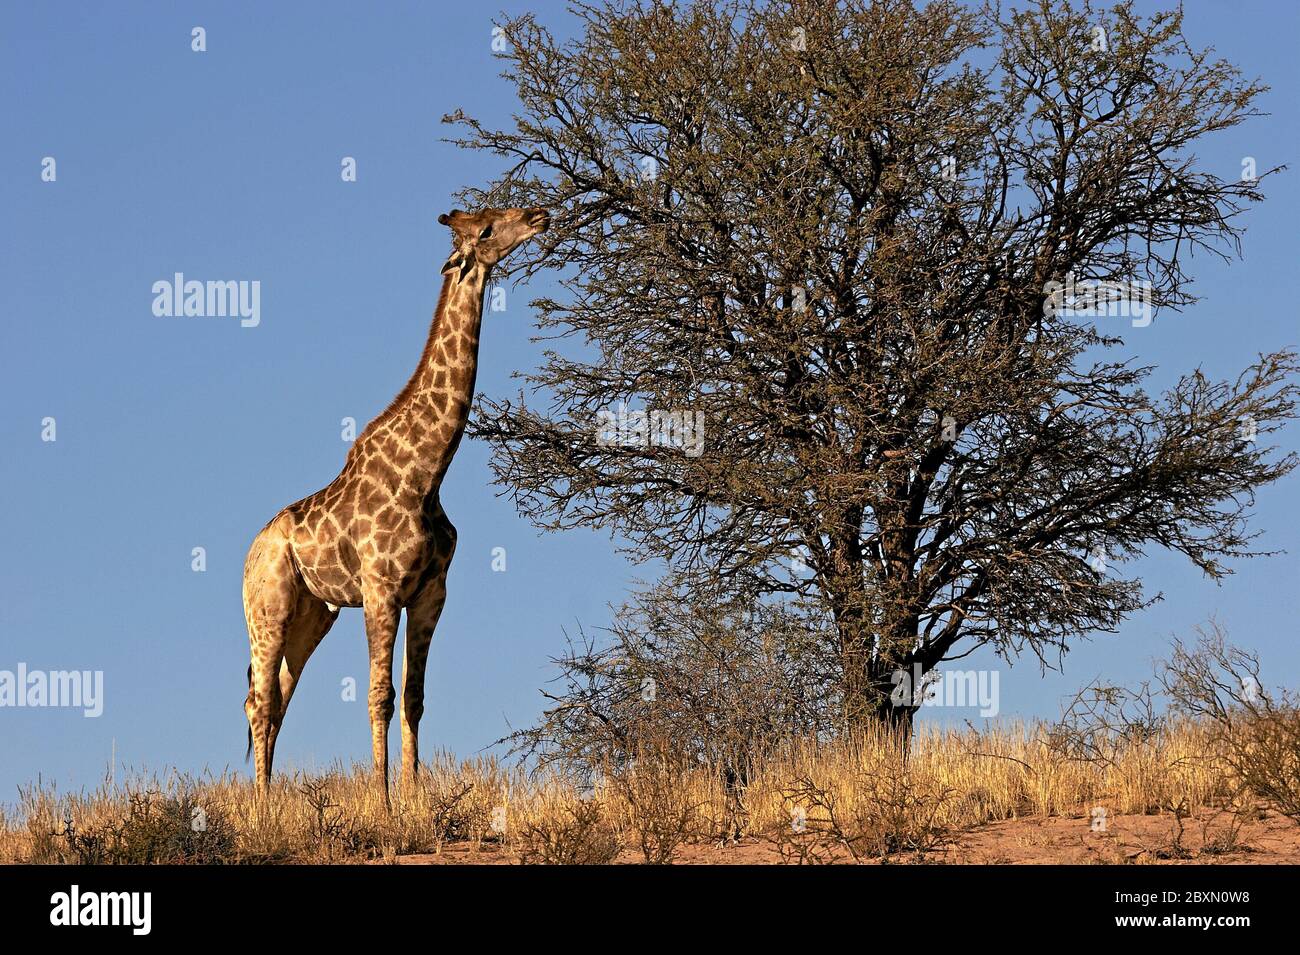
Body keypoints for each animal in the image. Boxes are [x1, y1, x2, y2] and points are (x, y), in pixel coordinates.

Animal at [242, 205, 550, 807]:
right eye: (485, 229)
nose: (538, 214)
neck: (427, 474)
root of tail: (249, 553)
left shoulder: (431, 592)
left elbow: (414, 697)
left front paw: (413, 797)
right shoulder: (382, 589)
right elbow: (379, 695)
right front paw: (383, 803)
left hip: (313, 616)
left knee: (278, 700)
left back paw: (266, 799)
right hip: (268, 608)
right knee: (260, 702)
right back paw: (259, 809)